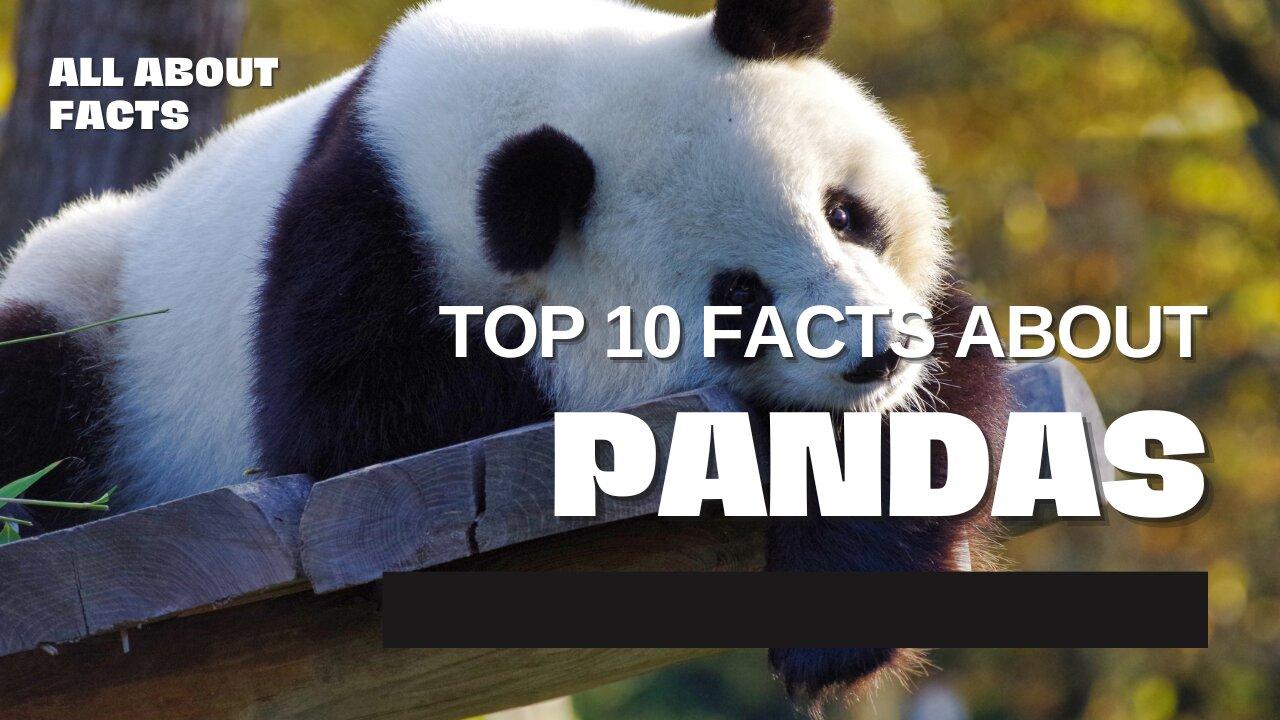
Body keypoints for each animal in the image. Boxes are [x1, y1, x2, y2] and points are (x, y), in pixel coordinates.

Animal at [0, 0, 1012, 704]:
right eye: (737, 301)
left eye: (847, 213)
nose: (876, 357)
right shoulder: (352, 257)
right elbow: (358, 432)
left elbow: (951, 378)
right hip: (96, 306)